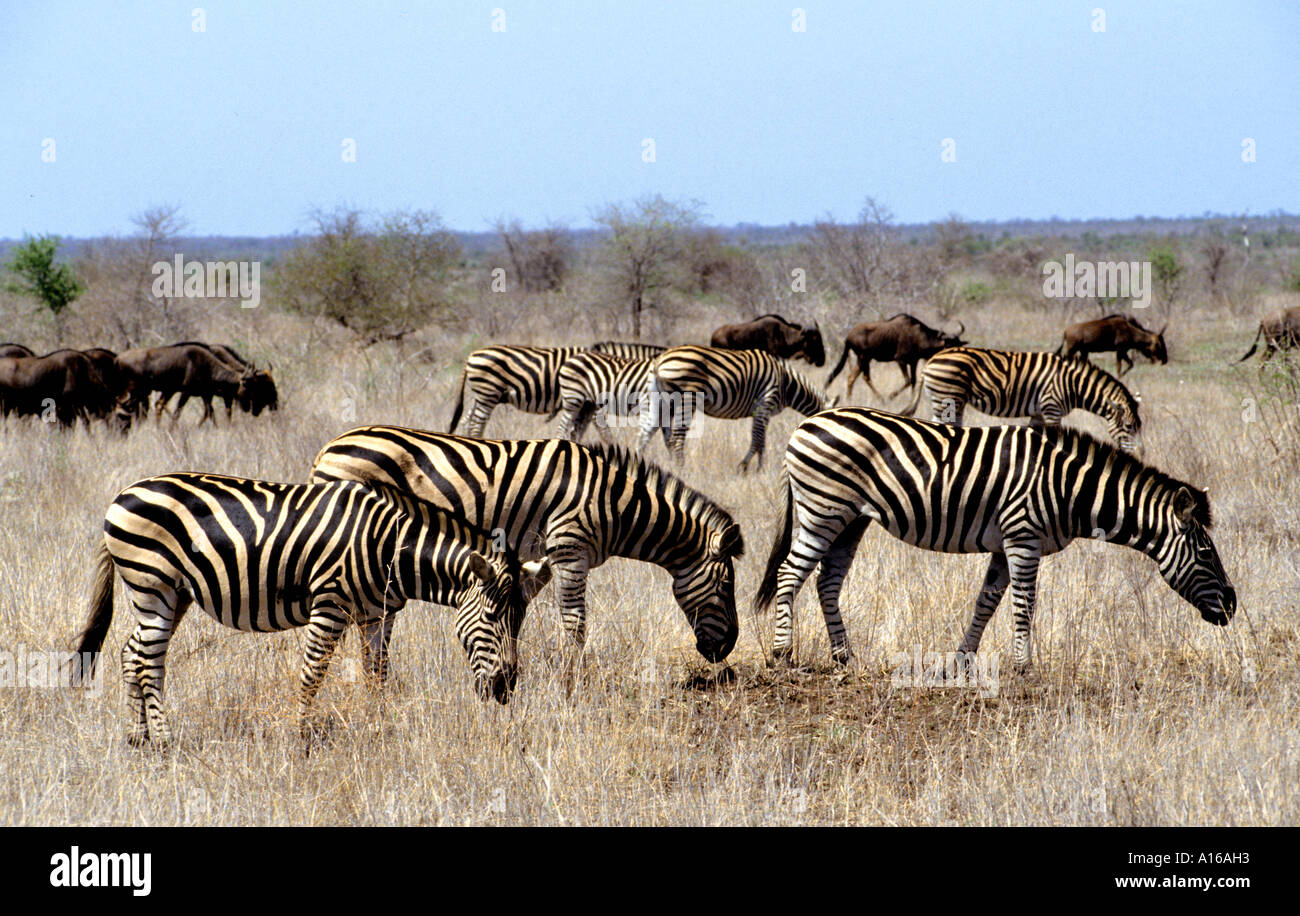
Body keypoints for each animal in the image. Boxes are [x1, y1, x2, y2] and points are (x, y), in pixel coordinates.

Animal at [72, 473, 550, 746]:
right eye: (491, 618)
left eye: (520, 624)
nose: (505, 689)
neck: (389, 547)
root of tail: (122, 494)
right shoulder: (331, 603)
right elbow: (313, 672)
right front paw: (300, 736)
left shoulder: (377, 614)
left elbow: (377, 675)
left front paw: (378, 730)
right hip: (152, 585)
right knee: (149, 659)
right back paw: (164, 741)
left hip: (173, 594)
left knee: (130, 654)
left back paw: (137, 737)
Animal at [309, 427, 745, 671]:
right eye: (726, 586)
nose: (726, 649)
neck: (614, 502)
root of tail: (329, 447)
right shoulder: (571, 552)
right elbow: (575, 626)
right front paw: (572, 684)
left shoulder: (547, 559)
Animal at [636, 345, 837, 471]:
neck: (786, 383)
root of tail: (659, 360)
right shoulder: (765, 402)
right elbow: (757, 438)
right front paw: (744, 467)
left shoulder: (764, 411)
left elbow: (762, 440)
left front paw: (760, 469)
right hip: (687, 396)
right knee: (677, 436)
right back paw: (681, 468)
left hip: (660, 398)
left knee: (647, 431)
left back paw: (640, 464)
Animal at [755, 407, 1235, 671]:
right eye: (1206, 552)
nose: (1232, 606)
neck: (1067, 487)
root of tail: (805, 424)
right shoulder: (1024, 537)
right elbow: (1024, 604)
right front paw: (1024, 667)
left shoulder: (1007, 545)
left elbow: (986, 603)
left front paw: (962, 662)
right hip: (823, 510)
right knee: (789, 573)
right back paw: (783, 655)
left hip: (851, 519)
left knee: (826, 582)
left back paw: (844, 657)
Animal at [904, 346, 1143, 455]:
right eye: (1128, 426)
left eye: (1139, 426)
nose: (1141, 454)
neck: (1072, 384)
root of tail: (930, 361)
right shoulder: (1051, 408)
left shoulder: (1038, 412)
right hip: (947, 397)